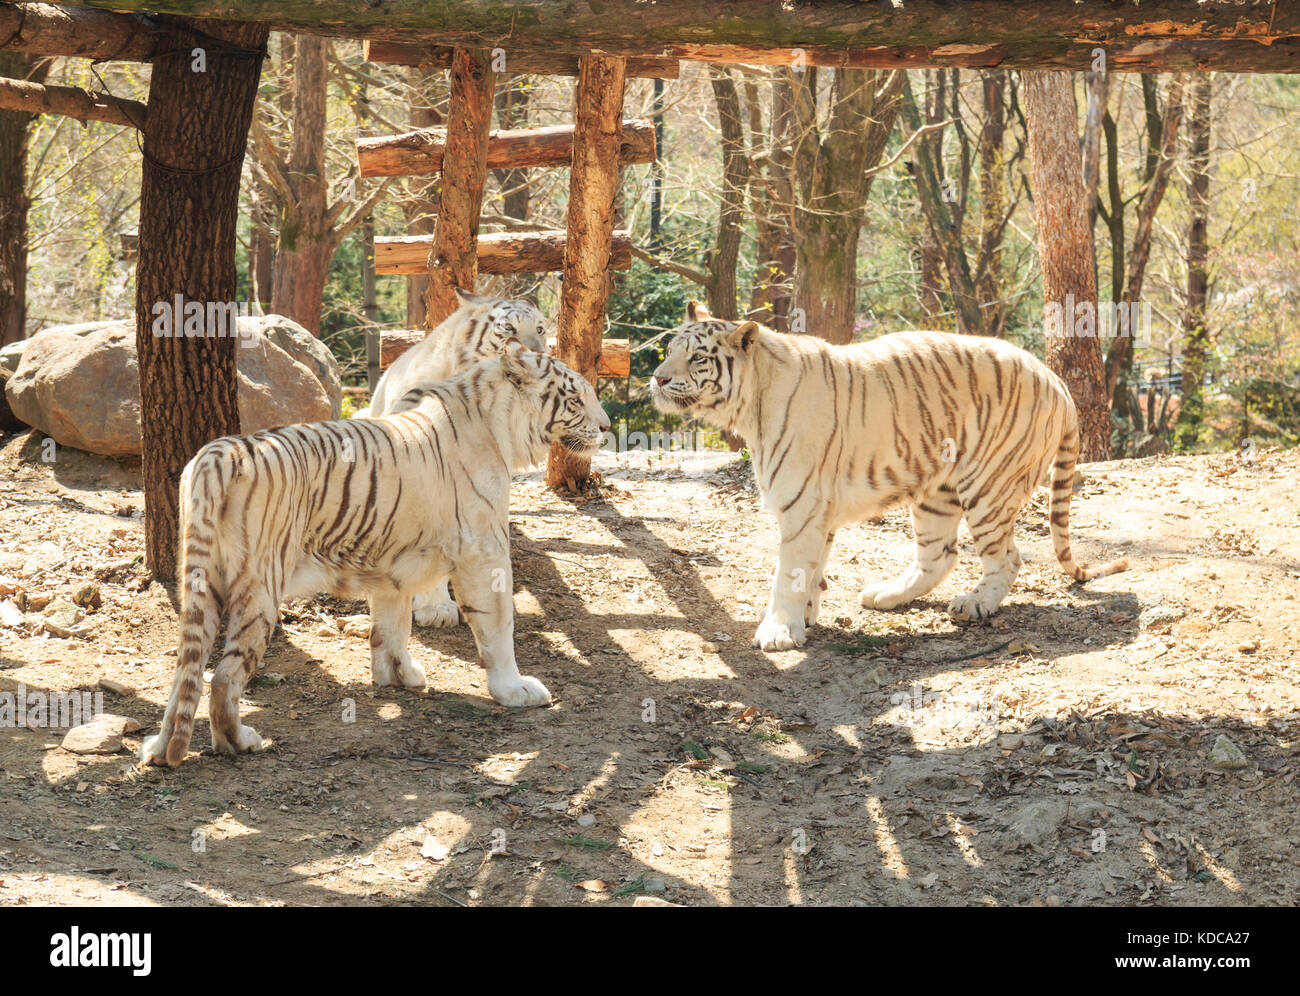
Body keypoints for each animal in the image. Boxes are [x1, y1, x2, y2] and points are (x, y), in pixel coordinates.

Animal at [140, 341, 609, 766]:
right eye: (575, 399)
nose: (605, 427)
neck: (499, 425)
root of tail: (218, 453)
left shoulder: (392, 561)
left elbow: (392, 625)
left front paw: (398, 676)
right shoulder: (485, 552)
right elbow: (498, 628)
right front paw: (515, 690)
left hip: (198, 583)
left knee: (186, 669)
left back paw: (160, 750)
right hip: (259, 588)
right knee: (223, 677)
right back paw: (239, 742)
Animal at [651, 301, 1128, 652]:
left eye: (697, 358)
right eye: (670, 349)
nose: (657, 379)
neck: (751, 404)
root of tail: (1056, 379)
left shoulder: (801, 505)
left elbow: (787, 574)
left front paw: (779, 631)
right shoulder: (818, 511)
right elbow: (812, 568)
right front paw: (805, 616)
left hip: (989, 487)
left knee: (1007, 557)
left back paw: (975, 604)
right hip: (937, 492)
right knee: (940, 556)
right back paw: (886, 595)